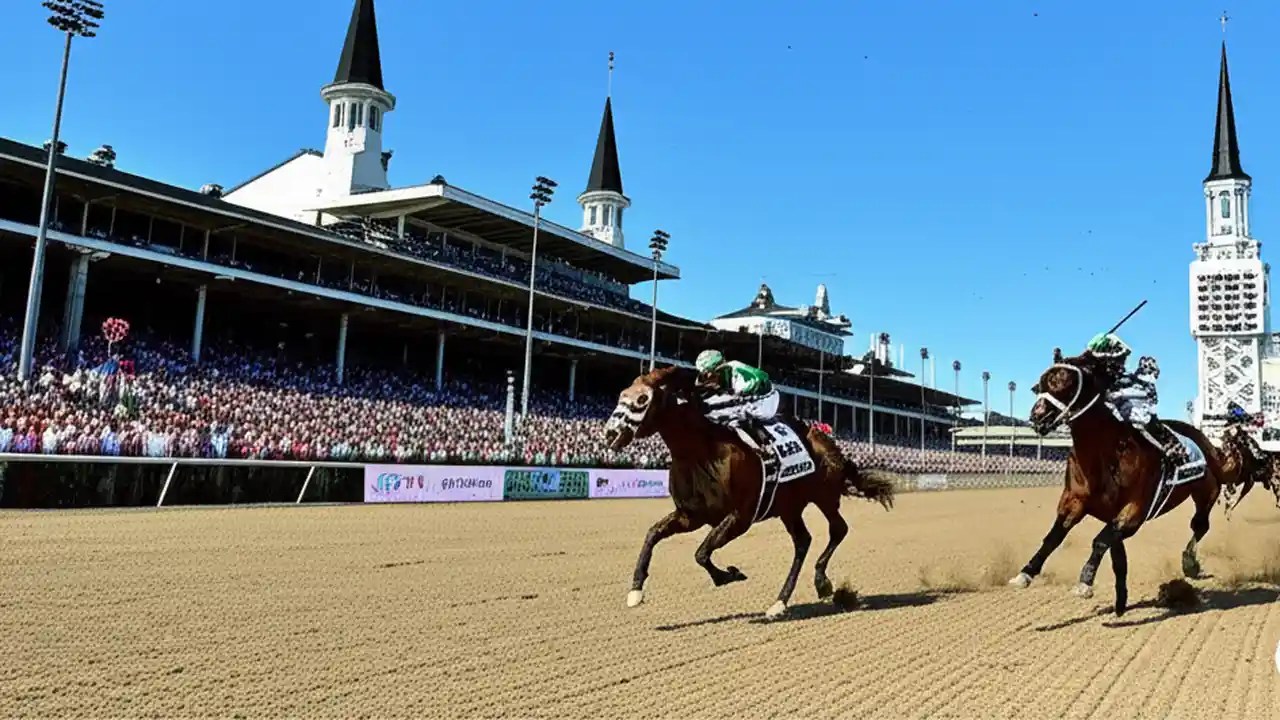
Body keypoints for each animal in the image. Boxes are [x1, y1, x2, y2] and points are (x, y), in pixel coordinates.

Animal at [602, 365, 896, 619]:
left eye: (642, 399)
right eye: (621, 395)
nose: (610, 434)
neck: (700, 450)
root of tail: (828, 441)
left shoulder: (740, 516)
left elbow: (701, 552)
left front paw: (729, 575)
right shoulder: (690, 515)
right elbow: (653, 535)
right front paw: (635, 590)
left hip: (824, 495)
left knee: (838, 529)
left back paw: (822, 583)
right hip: (790, 507)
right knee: (803, 541)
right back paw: (780, 602)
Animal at [1007, 348, 1227, 616]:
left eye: (1067, 383)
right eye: (1039, 385)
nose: (1037, 417)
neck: (1104, 453)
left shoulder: (1133, 512)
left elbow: (1100, 542)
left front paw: (1085, 582)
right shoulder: (1075, 501)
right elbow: (1057, 538)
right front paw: (1025, 573)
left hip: (1207, 493)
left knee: (1200, 525)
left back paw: (1190, 563)